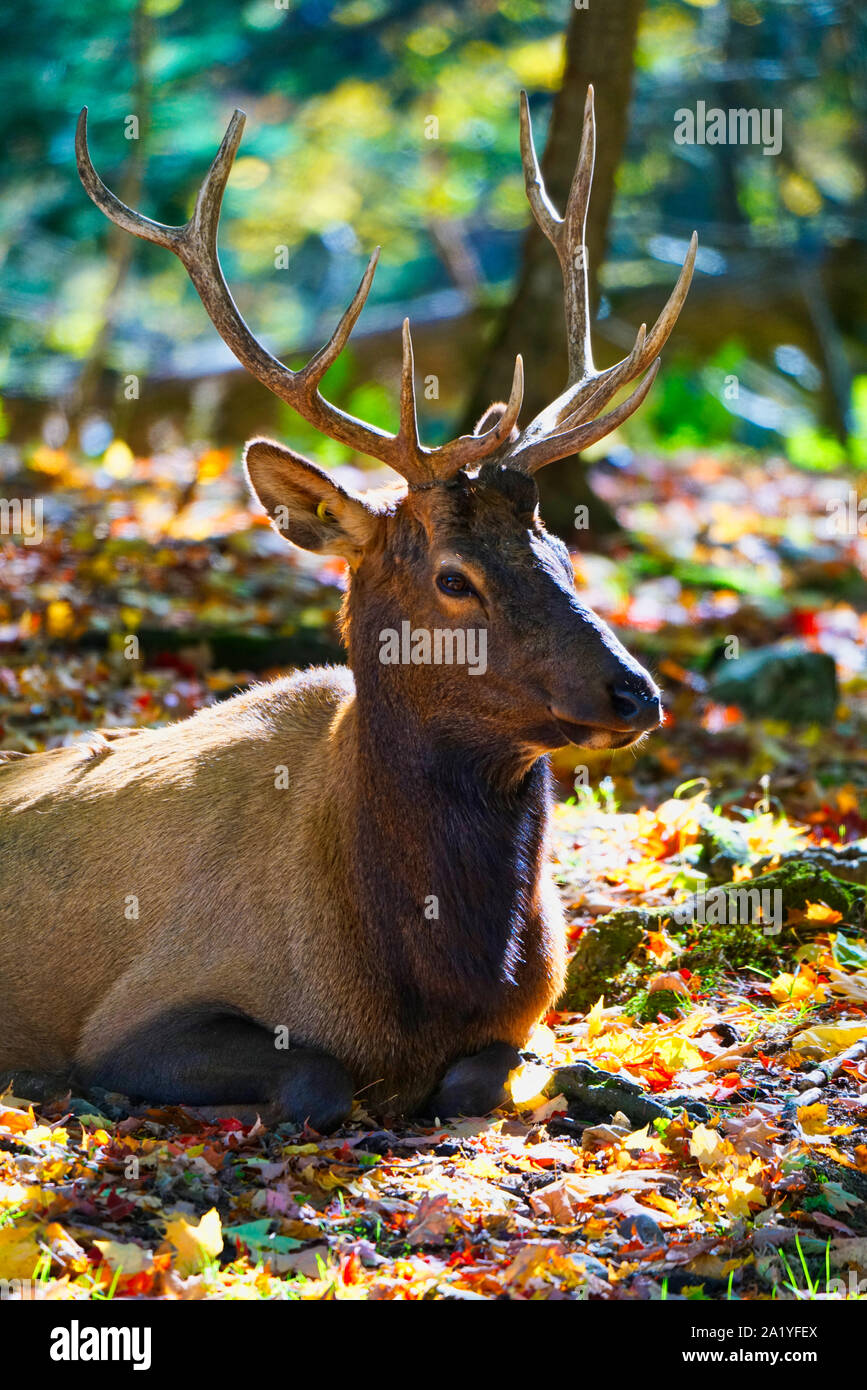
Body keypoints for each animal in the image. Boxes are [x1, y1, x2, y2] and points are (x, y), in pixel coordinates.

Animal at [0, 89, 695, 1130]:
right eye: (452, 577)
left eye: (564, 552)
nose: (635, 693)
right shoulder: (142, 1009)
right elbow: (318, 1077)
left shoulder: (531, 1006)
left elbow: (483, 1078)